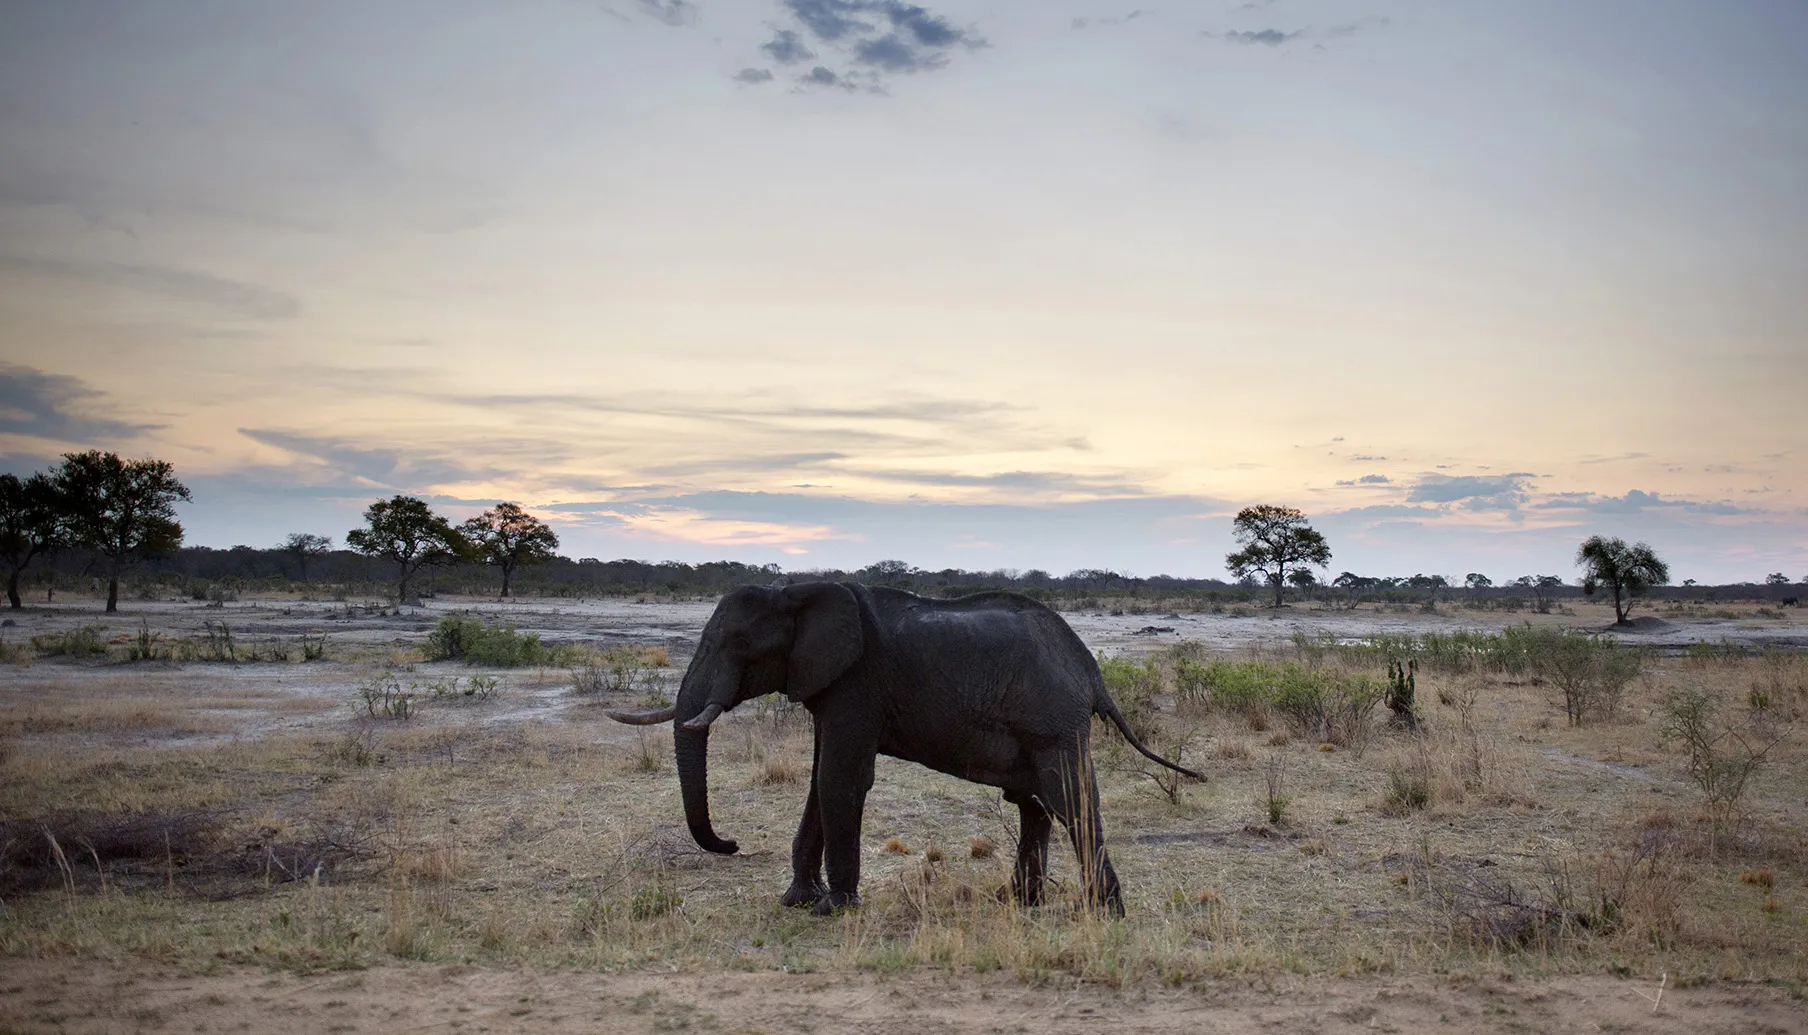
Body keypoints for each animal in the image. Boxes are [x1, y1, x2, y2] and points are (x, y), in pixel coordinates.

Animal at [606, 581, 1202, 916]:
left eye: (737, 645)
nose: (731, 844)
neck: (796, 593)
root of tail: (1092, 670)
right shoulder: (831, 686)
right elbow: (820, 779)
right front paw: (797, 902)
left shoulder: (857, 683)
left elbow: (841, 778)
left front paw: (834, 910)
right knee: (1034, 807)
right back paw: (1016, 903)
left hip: (1054, 723)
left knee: (1070, 801)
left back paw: (1103, 914)